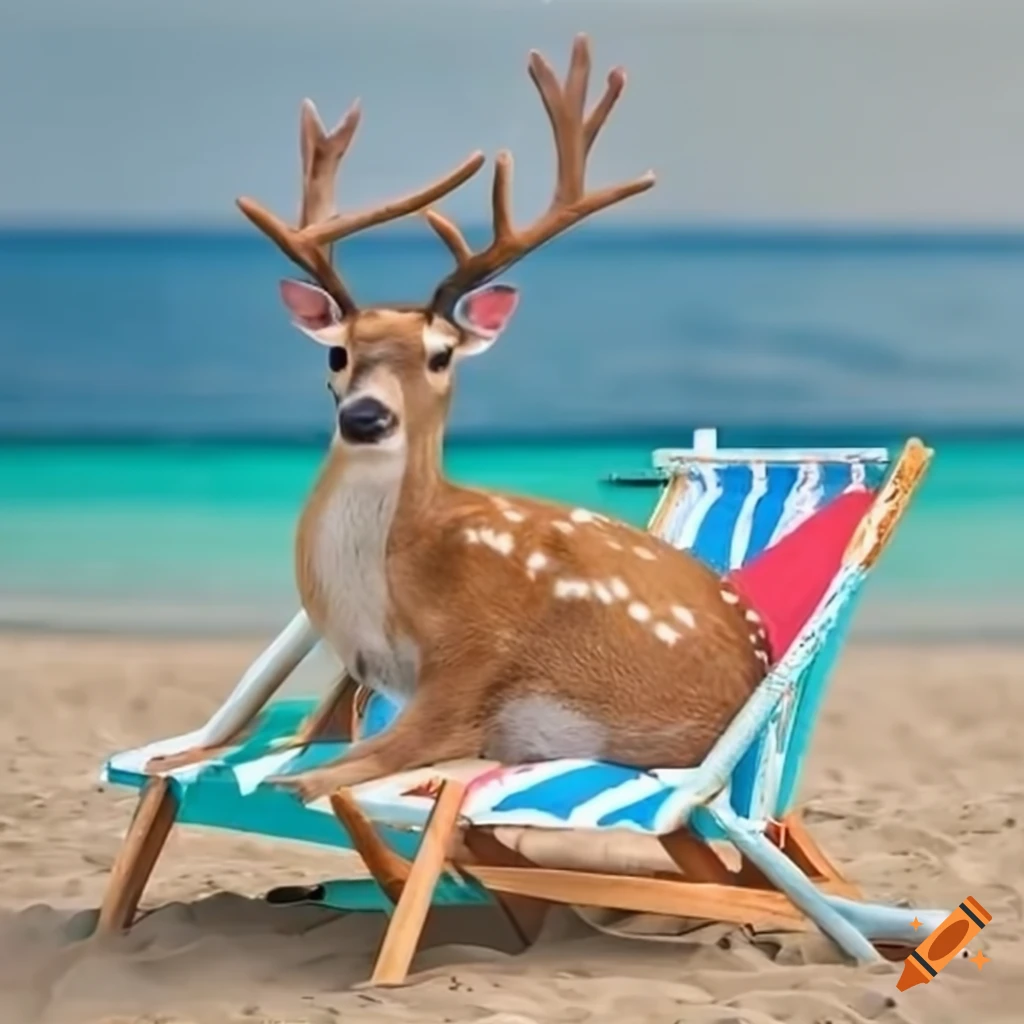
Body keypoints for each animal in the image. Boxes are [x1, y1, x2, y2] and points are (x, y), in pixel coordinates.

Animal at [235, 35, 771, 803]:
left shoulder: (475, 664)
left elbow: (320, 778)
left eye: (440, 355)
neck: (389, 604)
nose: (365, 418)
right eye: (338, 352)